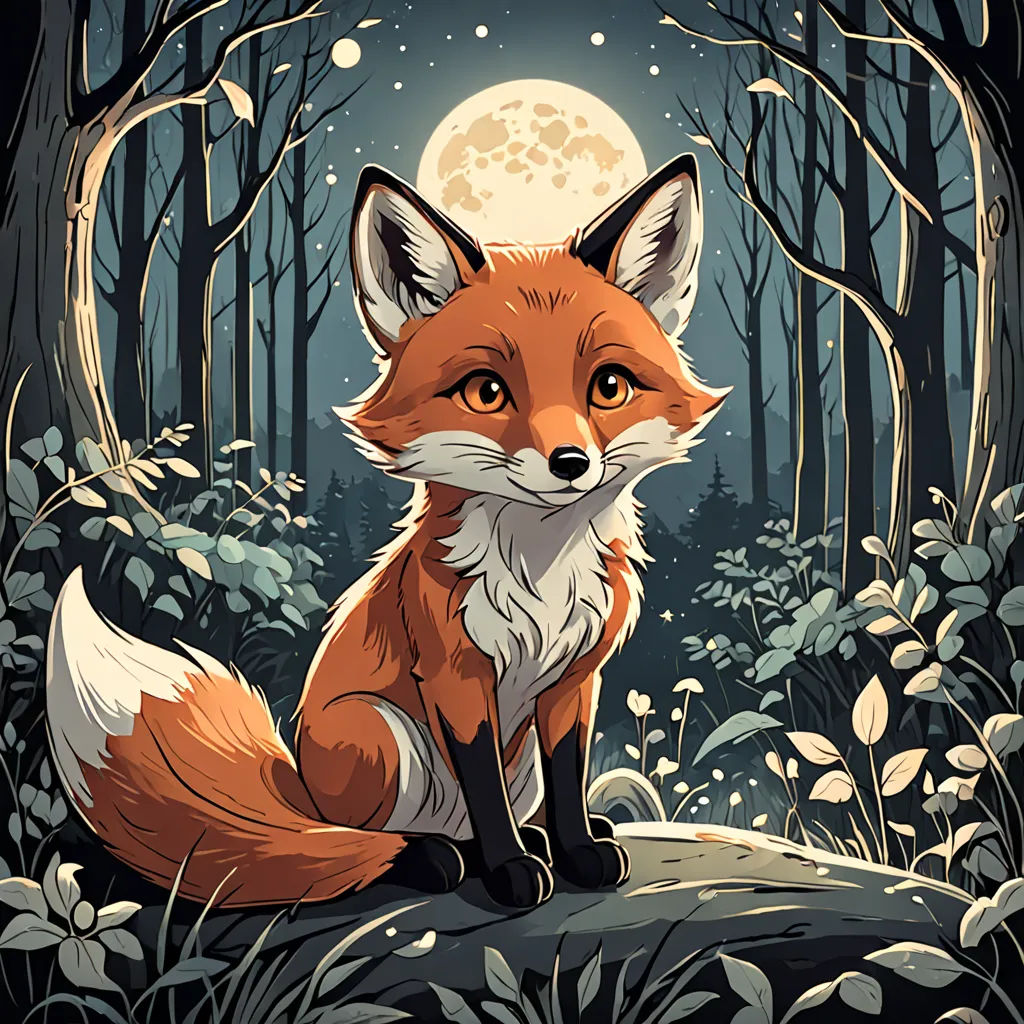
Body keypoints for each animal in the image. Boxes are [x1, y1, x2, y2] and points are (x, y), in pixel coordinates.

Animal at [45, 152, 726, 910]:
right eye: (487, 392)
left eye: (608, 387)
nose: (571, 463)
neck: (539, 569)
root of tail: (298, 791)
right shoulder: (457, 677)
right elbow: (483, 791)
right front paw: (510, 870)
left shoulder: (575, 680)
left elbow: (570, 780)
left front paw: (577, 847)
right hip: (381, 735)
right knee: (372, 844)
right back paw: (446, 857)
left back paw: (540, 838)